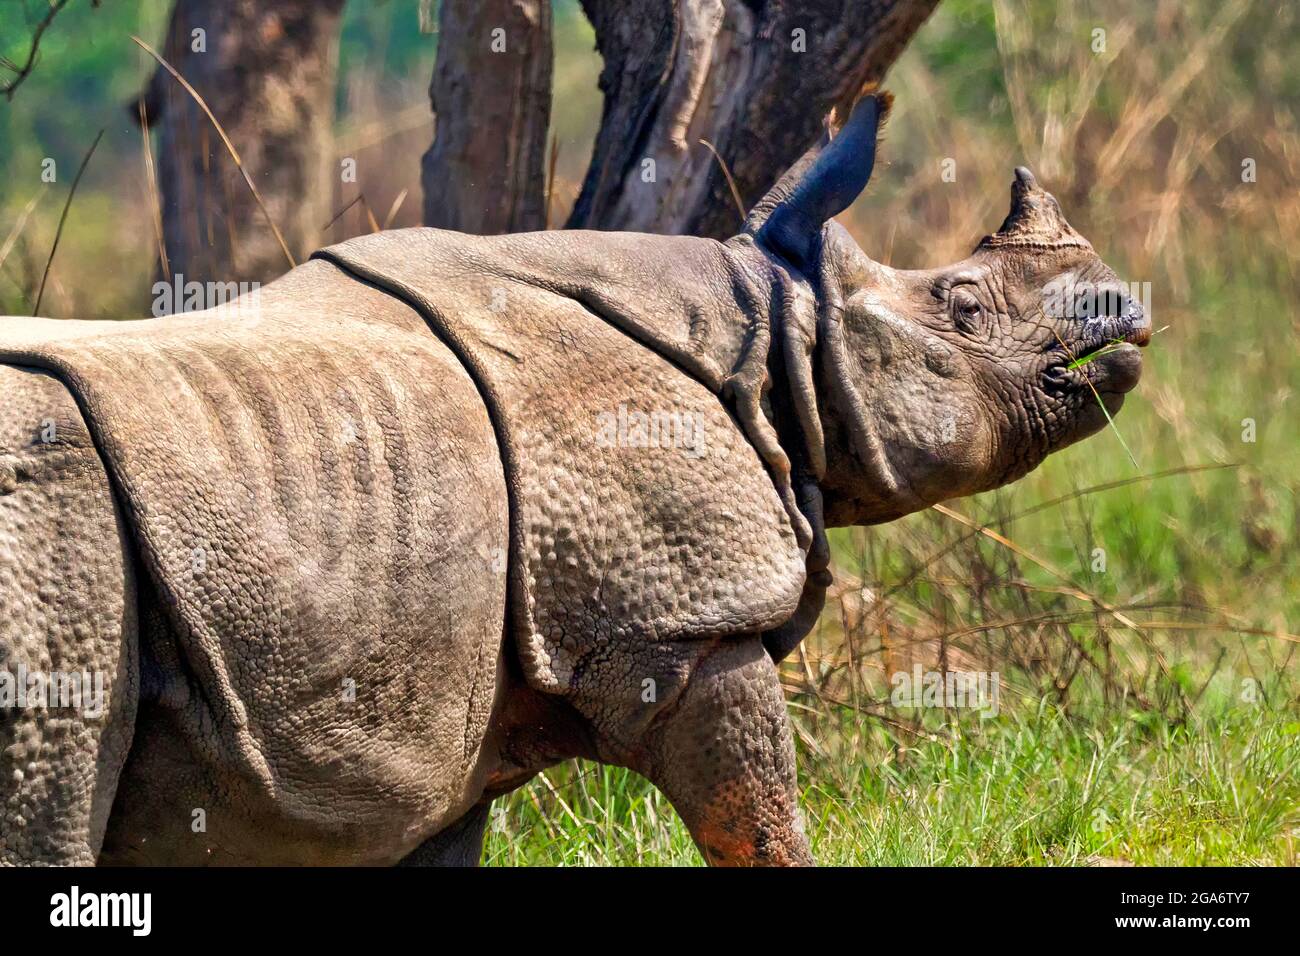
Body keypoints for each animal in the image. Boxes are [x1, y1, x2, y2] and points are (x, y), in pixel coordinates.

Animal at [0, 92, 1147, 866]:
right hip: (54, 532)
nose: (1126, 313)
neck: (773, 327)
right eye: (963, 306)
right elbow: (760, 817)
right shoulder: (676, 625)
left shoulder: (429, 726)